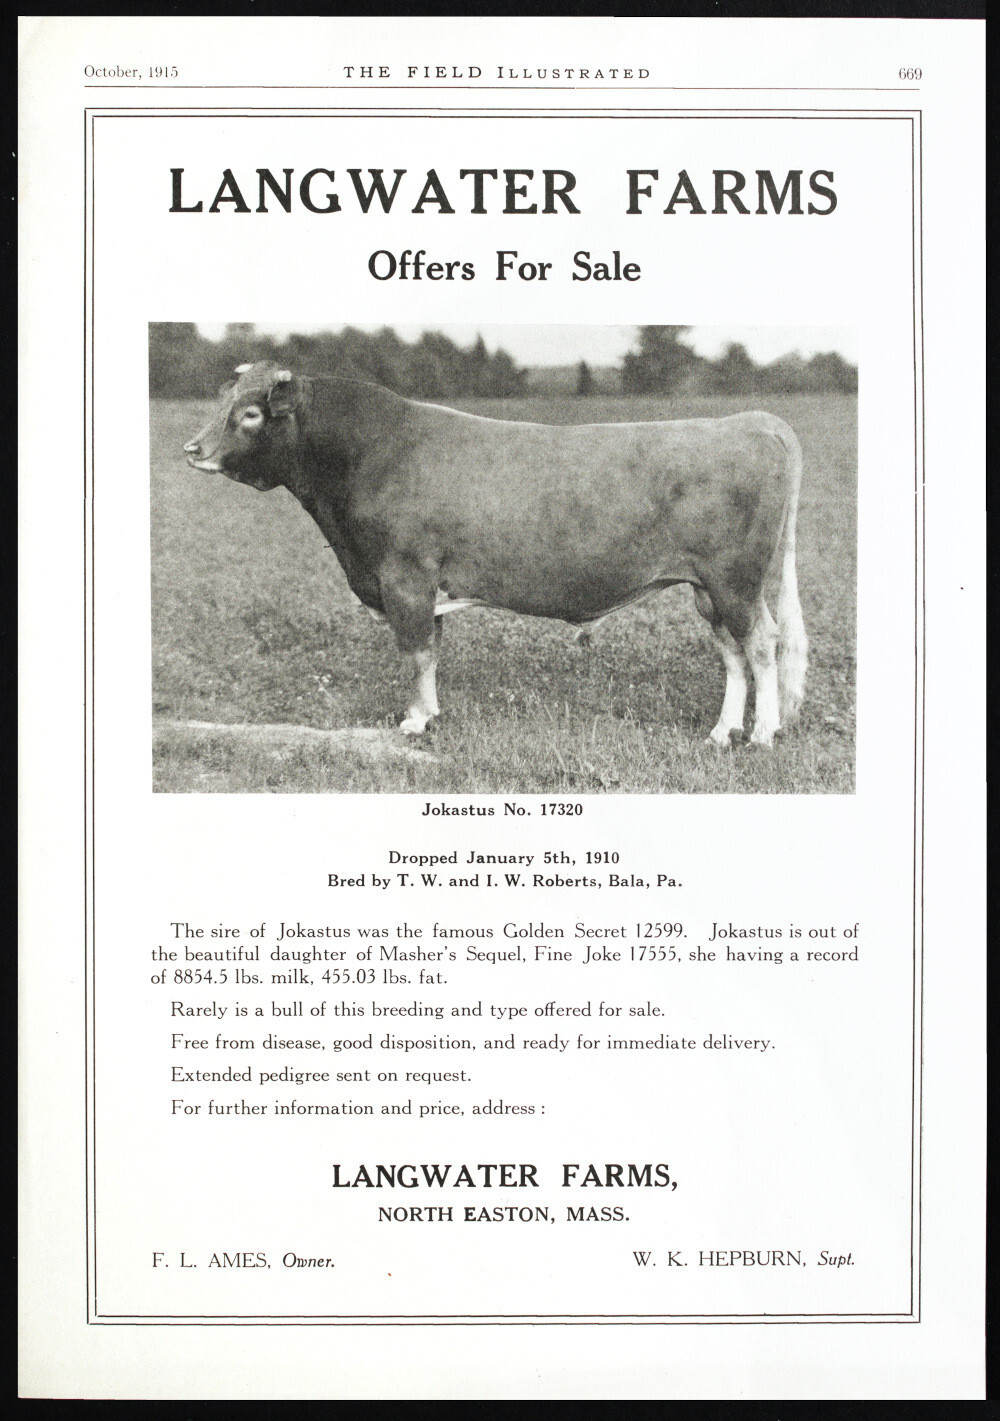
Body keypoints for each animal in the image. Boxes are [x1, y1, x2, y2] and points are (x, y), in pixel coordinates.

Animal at [183, 362, 808, 747]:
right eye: (221, 402)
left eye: (251, 413)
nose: (192, 449)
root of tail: (752, 420)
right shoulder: (419, 584)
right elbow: (431, 652)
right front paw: (431, 714)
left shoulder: (405, 576)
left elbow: (415, 651)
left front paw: (413, 722)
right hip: (707, 587)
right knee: (732, 653)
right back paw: (722, 731)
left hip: (734, 579)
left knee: (761, 644)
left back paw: (761, 734)